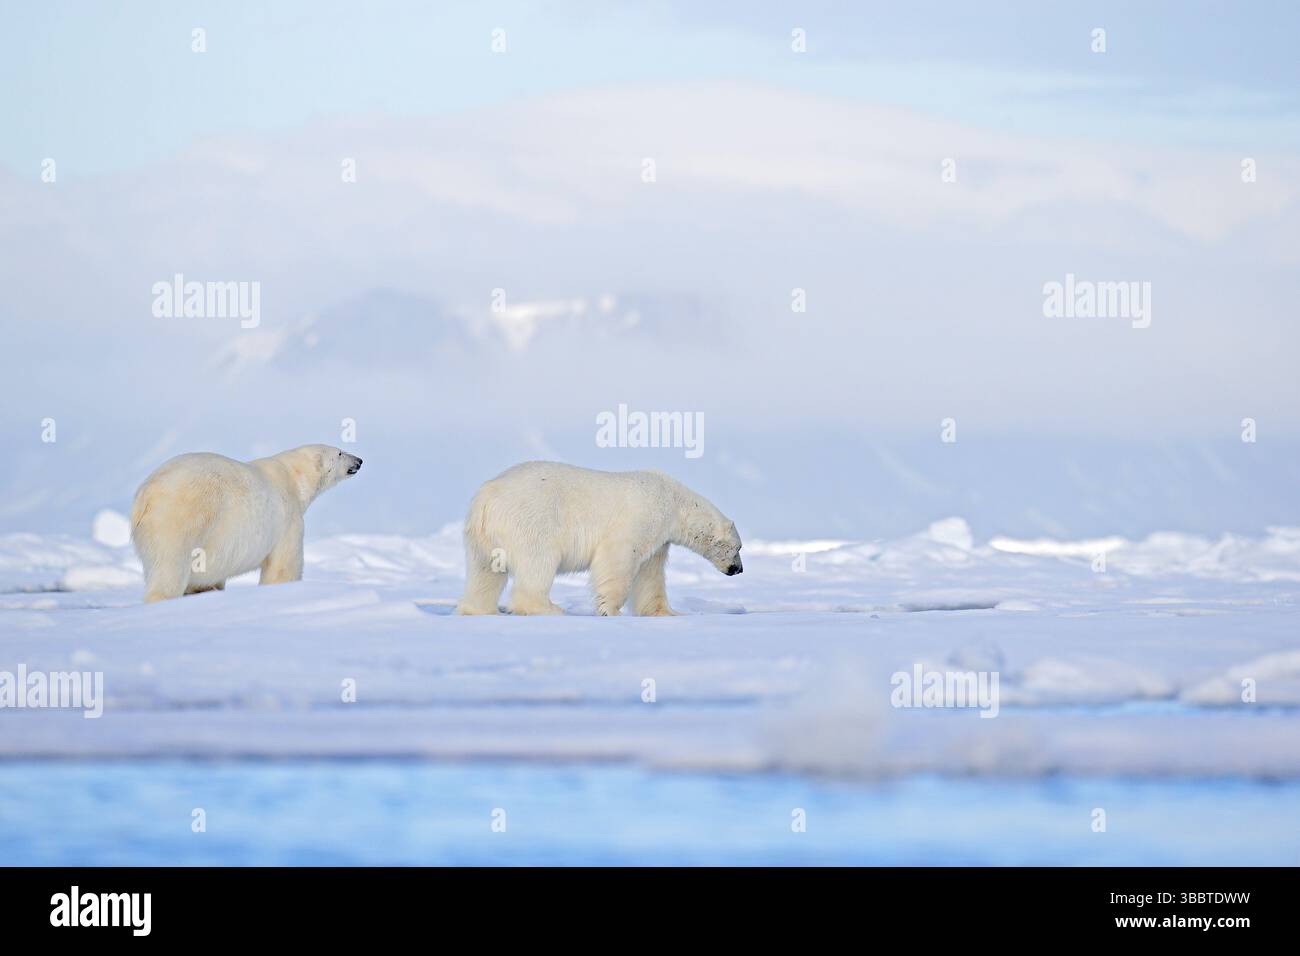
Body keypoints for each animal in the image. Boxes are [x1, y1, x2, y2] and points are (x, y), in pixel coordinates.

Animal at [130, 444, 362, 603]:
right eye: (339, 453)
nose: (359, 460)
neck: (294, 477)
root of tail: (146, 494)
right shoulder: (287, 519)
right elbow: (283, 567)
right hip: (181, 519)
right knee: (170, 568)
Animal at [455, 461, 742, 616]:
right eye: (737, 547)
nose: (738, 569)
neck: (674, 501)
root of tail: (487, 496)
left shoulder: (660, 540)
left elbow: (649, 575)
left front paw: (667, 612)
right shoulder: (643, 516)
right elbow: (618, 557)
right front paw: (609, 609)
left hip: (482, 537)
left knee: (485, 573)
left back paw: (478, 609)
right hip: (531, 520)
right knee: (538, 562)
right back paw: (549, 608)